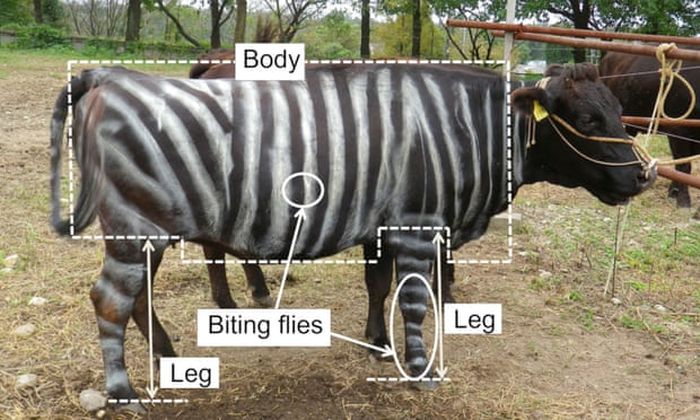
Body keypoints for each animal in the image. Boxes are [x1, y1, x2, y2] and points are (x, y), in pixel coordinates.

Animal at [50, 62, 655, 404]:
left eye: (620, 114)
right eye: (589, 121)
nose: (646, 177)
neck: (463, 128)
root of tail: (109, 77)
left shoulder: (384, 225)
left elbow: (378, 287)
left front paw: (378, 345)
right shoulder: (415, 226)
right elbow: (414, 300)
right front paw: (419, 369)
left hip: (150, 230)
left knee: (136, 298)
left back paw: (168, 357)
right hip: (137, 227)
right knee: (110, 300)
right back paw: (124, 391)